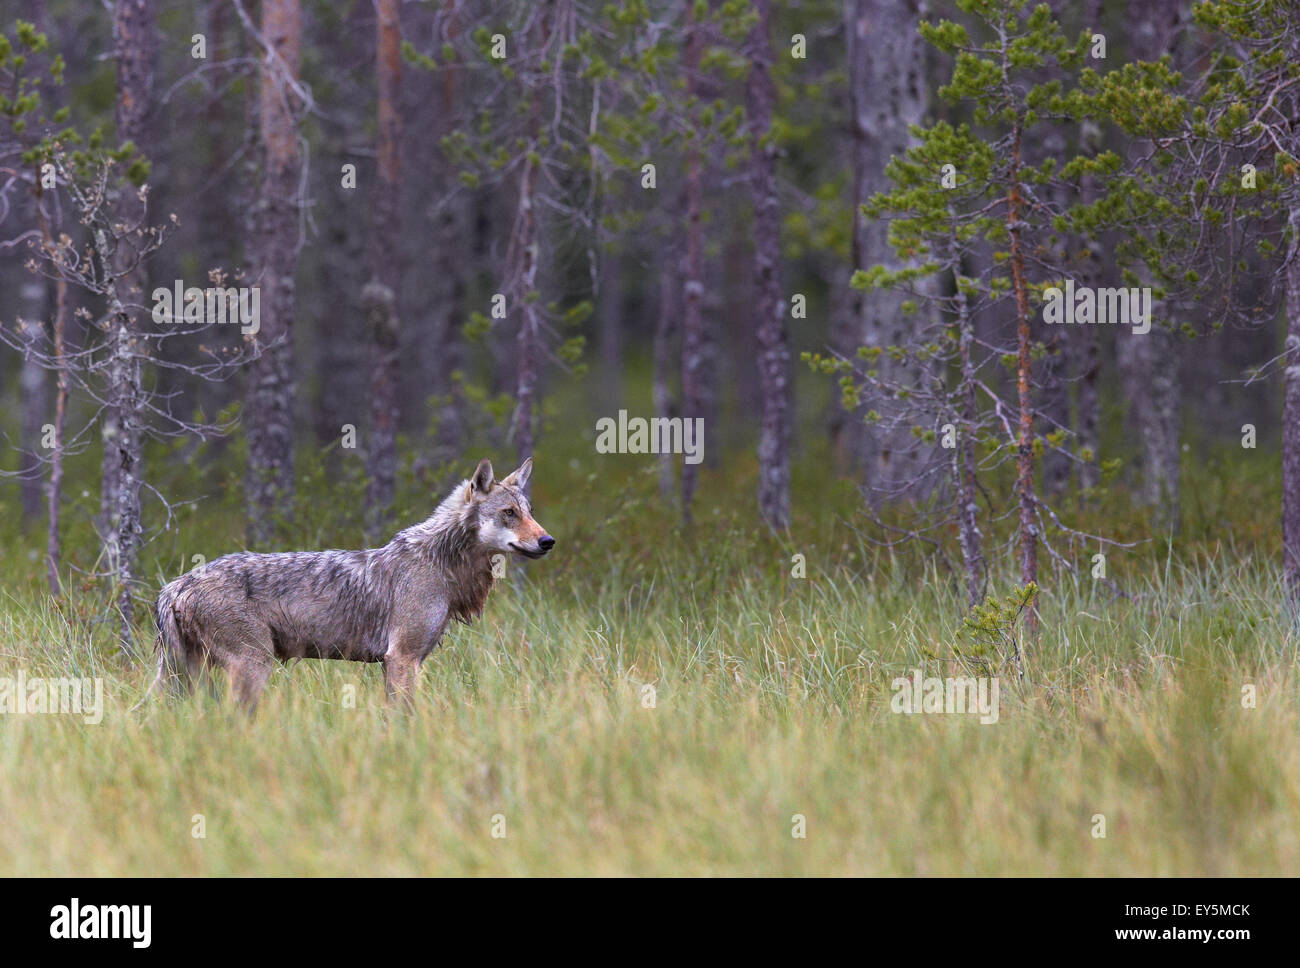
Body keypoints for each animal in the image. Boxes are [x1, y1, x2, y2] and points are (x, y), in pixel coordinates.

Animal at [136, 458, 553, 713]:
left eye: (530, 512)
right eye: (509, 513)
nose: (548, 541)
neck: (440, 565)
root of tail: (175, 585)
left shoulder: (397, 663)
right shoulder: (402, 659)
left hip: (181, 674)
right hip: (250, 667)